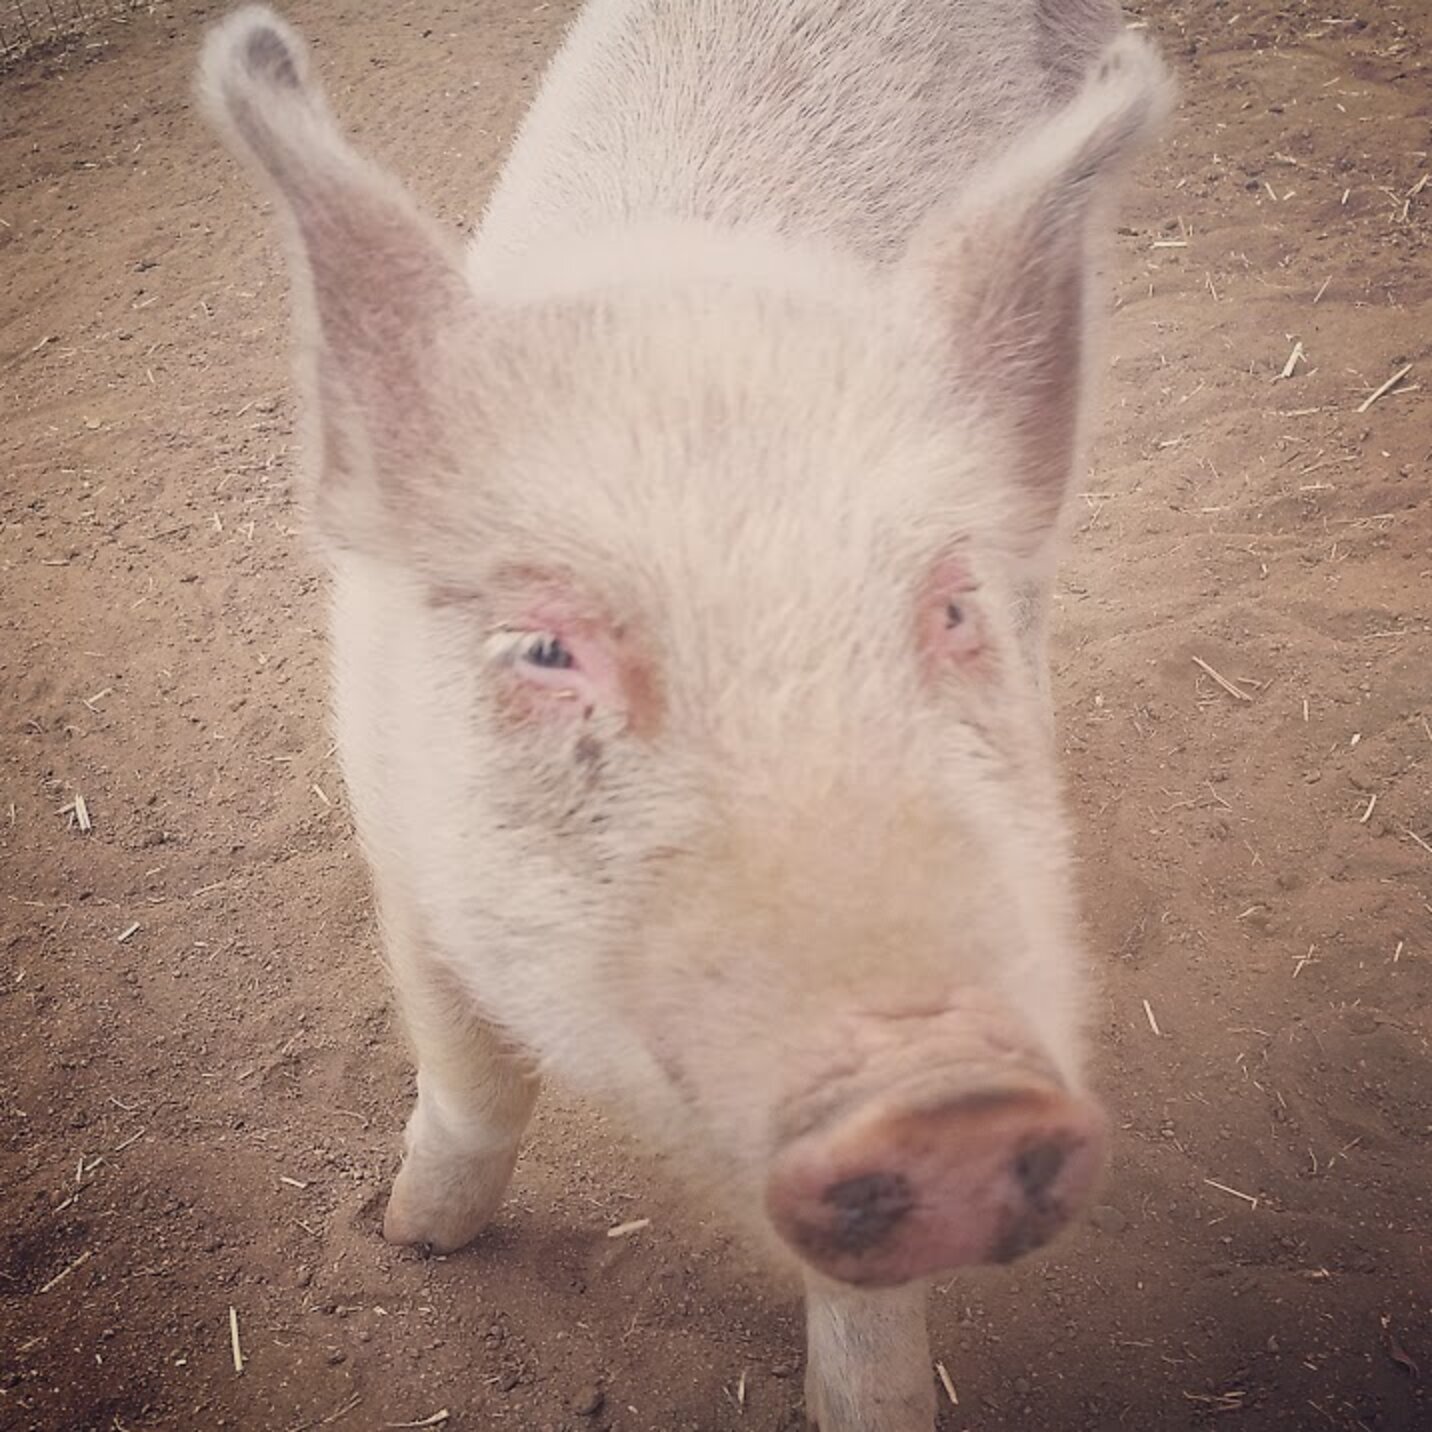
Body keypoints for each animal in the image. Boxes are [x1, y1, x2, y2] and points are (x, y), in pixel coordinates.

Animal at [200, 3, 1170, 1427]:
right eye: (545, 647)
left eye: (950, 610)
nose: (949, 1092)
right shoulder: (395, 833)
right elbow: (472, 1075)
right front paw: (416, 1237)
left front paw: (874, 1410)